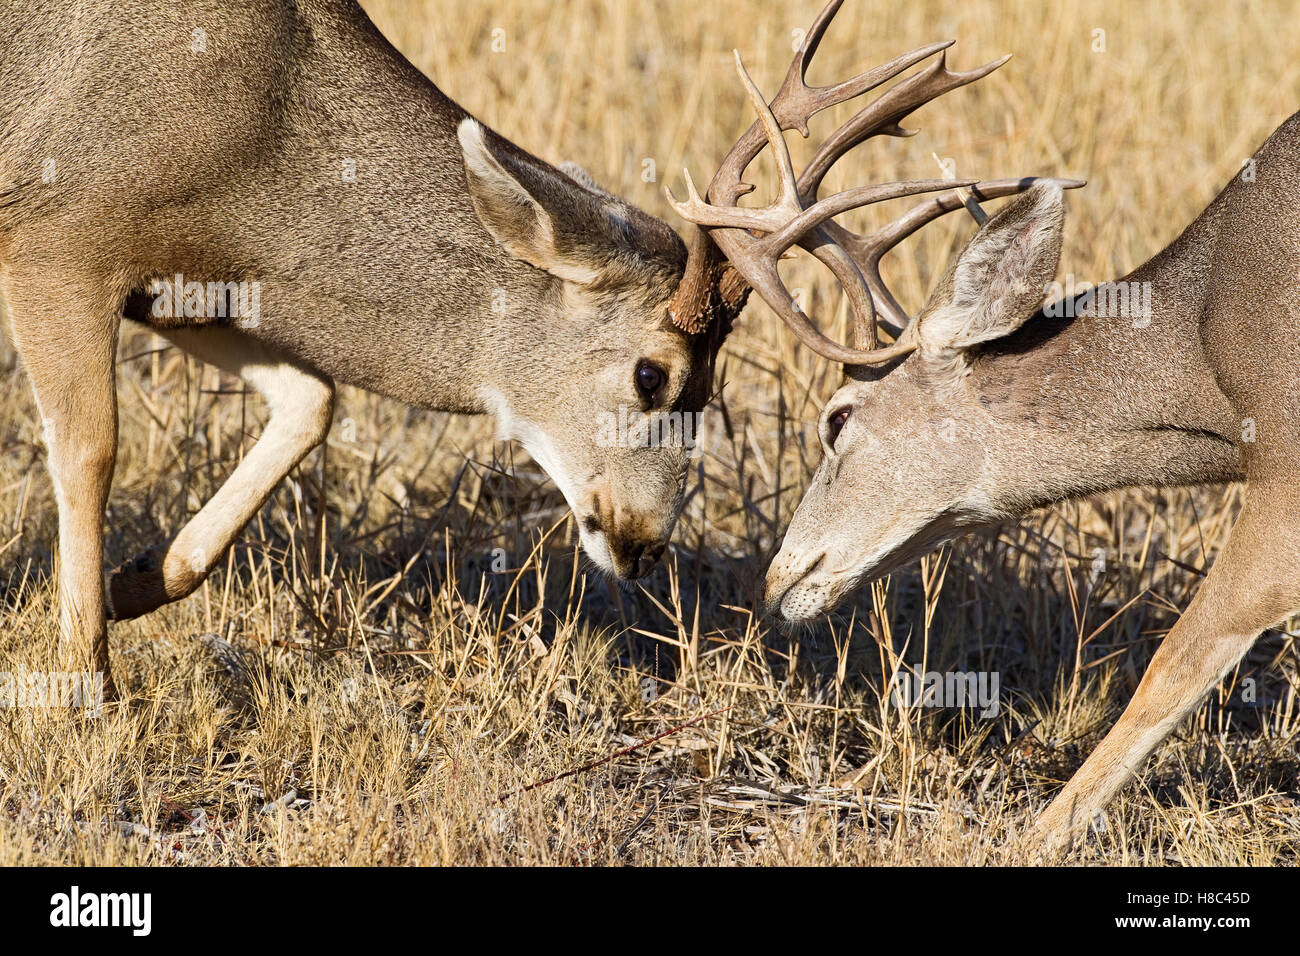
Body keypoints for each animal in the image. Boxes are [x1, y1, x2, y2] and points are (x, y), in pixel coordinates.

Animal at [1, 0, 1042, 701]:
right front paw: (82, 679)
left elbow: (312, 399)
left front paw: (138, 584)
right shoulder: (60, 236)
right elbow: (89, 449)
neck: (261, 139)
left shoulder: (185, 282)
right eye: (653, 374)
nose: (644, 543)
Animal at [670, 3, 1298, 856]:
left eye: (838, 417)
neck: (1207, 357)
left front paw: (1036, 840)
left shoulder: (1288, 473)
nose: (775, 581)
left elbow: (1177, 661)